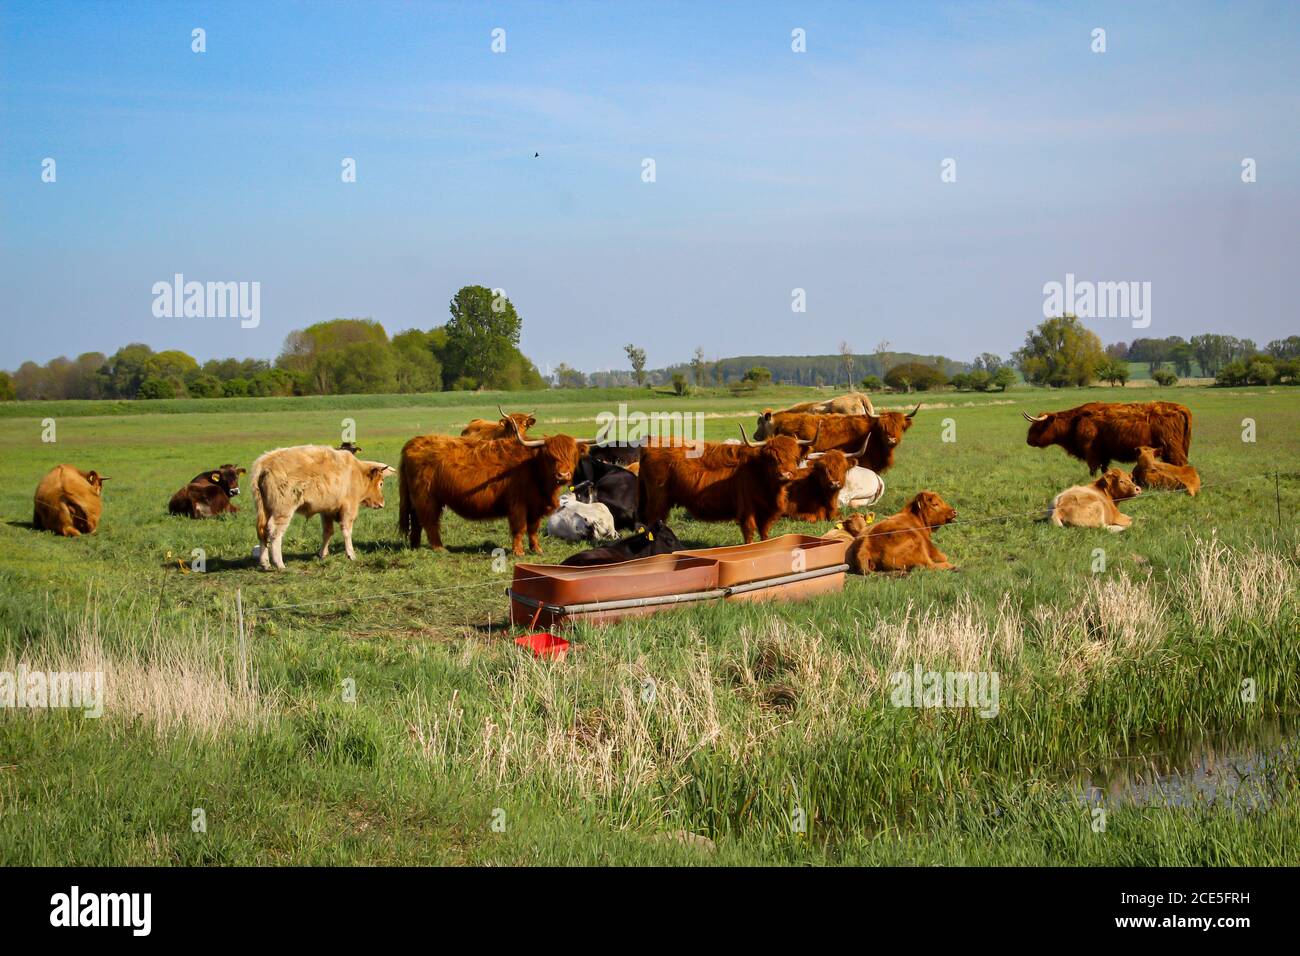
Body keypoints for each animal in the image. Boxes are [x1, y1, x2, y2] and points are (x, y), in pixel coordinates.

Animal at [251, 445, 395, 570]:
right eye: (381, 483)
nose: (382, 503)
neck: (357, 473)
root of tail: (264, 464)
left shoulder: (327, 510)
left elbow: (328, 532)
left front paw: (323, 554)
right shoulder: (348, 509)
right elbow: (347, 532)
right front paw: (351, 554)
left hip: (264, 509)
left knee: (263, 532)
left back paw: (265, 563)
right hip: (282, 510)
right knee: (275, 533)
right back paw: (279, 563)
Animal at [399, 418, 596, 556]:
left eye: (572, 455)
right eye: (550, 456)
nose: (563, 475)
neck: (533, 467)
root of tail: (413, 442)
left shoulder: (535, 506)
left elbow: (533, 529)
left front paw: (537, 549)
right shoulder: (517, 504)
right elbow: (519, 528)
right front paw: (518, 552)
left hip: (418, 499)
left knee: (416, 520)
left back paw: (415, 546)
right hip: (427, 498)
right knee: (429, 521)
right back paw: (439, 548)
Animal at [638, 425, 817, 542]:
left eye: (794, 457)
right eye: (772, 457)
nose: (785, 474)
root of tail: (650, 445)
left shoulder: (766, 512)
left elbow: (765, 533)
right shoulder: (747, 509)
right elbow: (749, 532)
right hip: (657, 500)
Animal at [1022, 401, 1192, 474]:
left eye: (1038, 426)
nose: (1028, 440)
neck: (1076, 421)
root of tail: (1180, 407)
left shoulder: (1092, 453)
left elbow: (1093, 471)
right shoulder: (1104, 456)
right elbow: (1105, 471)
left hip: (1173, 449)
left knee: (1181, 465)